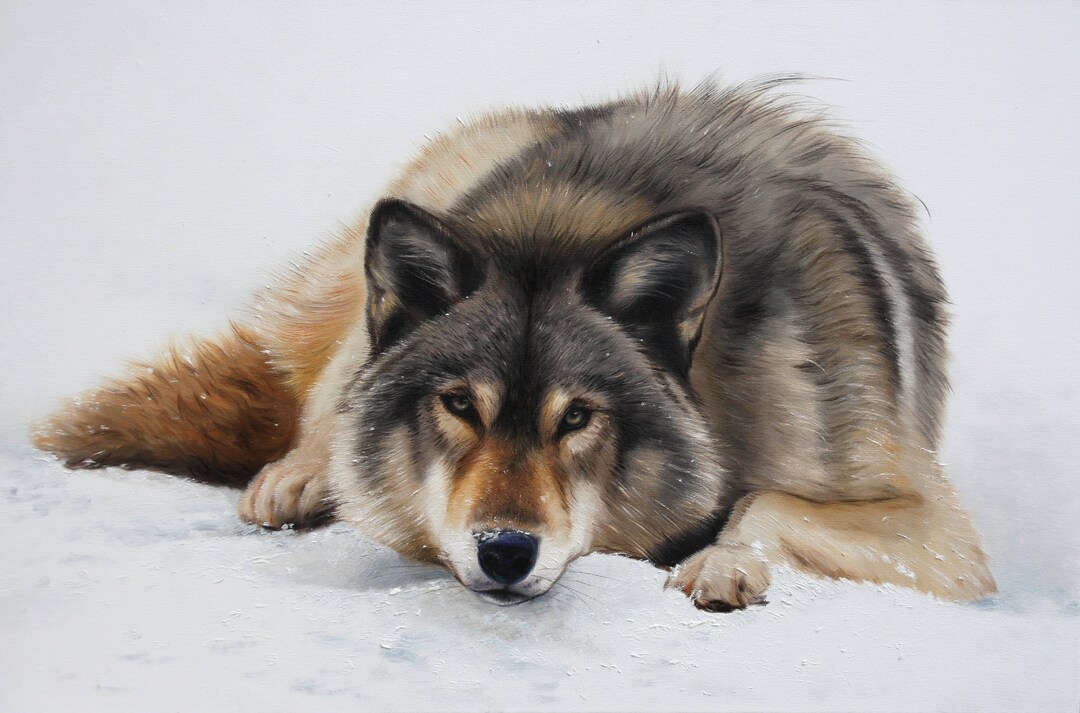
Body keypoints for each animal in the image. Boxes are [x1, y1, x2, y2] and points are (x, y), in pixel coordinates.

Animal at [32, 79, 996, 611]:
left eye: (578, 419)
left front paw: (723, 560)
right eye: (461, 405)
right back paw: (298, 475)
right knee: (327, 390)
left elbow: (765, 503)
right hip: (424, 194)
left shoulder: (938, 530)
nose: (504, 551)